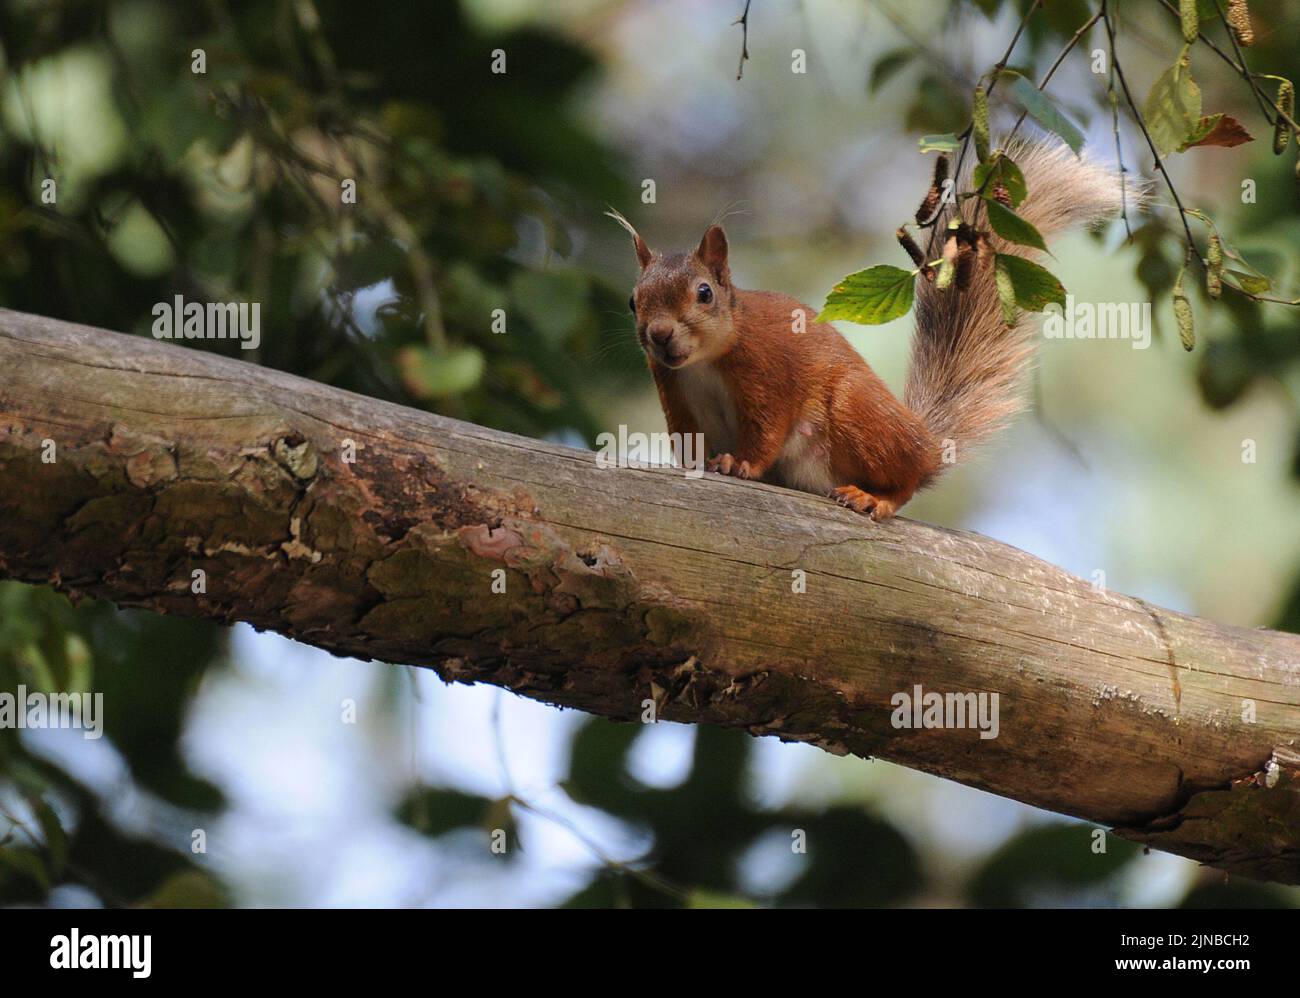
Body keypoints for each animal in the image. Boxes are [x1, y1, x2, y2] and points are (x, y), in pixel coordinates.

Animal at [611, 141, 1124, 520]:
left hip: (856, 410)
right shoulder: (674, 391)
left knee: (908, 481)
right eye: (633, 301)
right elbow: (687, 440)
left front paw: (740, 462)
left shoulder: (768, 370)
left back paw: (874, 498)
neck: (706, 361)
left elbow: (766, 428)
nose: (658, 334)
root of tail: (929, 444)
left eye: (704, 293)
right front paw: (695, 466)